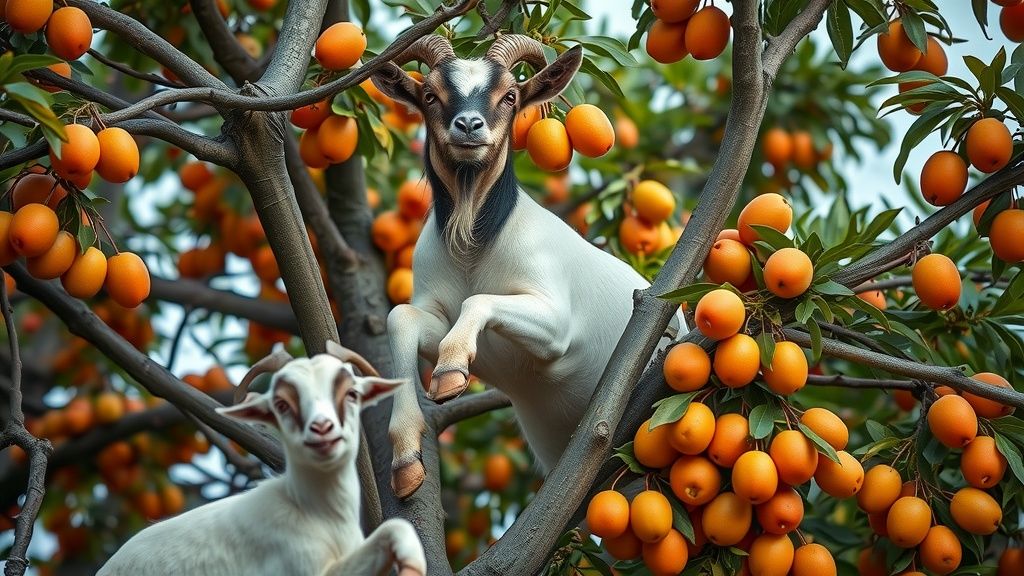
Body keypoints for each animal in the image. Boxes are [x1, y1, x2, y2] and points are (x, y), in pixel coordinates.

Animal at [370, 35, 684, 498]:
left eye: (510, 96)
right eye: (430, 95)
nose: (469, 126)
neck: (473, 245)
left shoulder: (555, 324)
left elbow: (480, 301)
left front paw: (448, 372)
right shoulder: (446, 319)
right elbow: (400, 317)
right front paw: (407, 462)